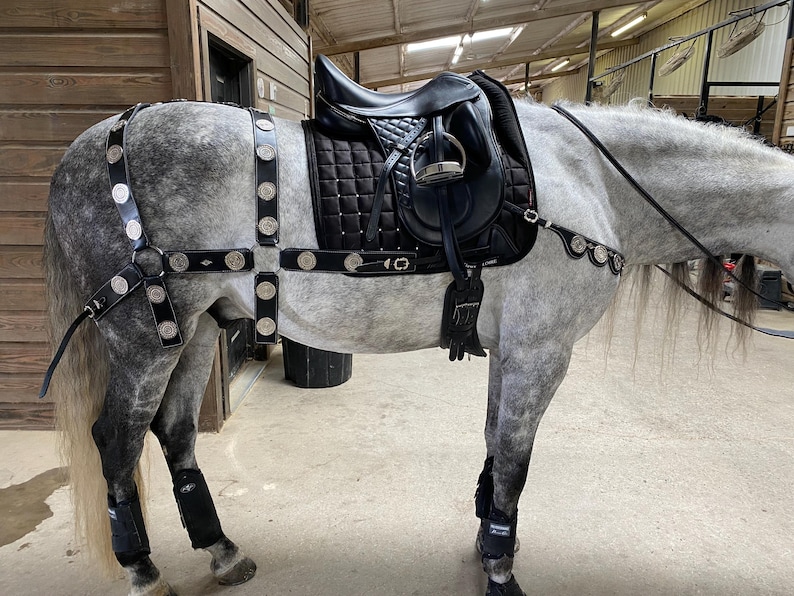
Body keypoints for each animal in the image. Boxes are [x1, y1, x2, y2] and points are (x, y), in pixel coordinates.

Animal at [43, 95, 793, 596]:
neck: (592, 183)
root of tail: (93, 141)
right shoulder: (541, 353)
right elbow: (515, 464)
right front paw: (501, 570)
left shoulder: (512, 353)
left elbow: (494, 448)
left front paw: (487, 541)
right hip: (146, 338)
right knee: (116, 442)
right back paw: (143, 570)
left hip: (197, 328)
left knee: (174, 432)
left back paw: (222, 552)